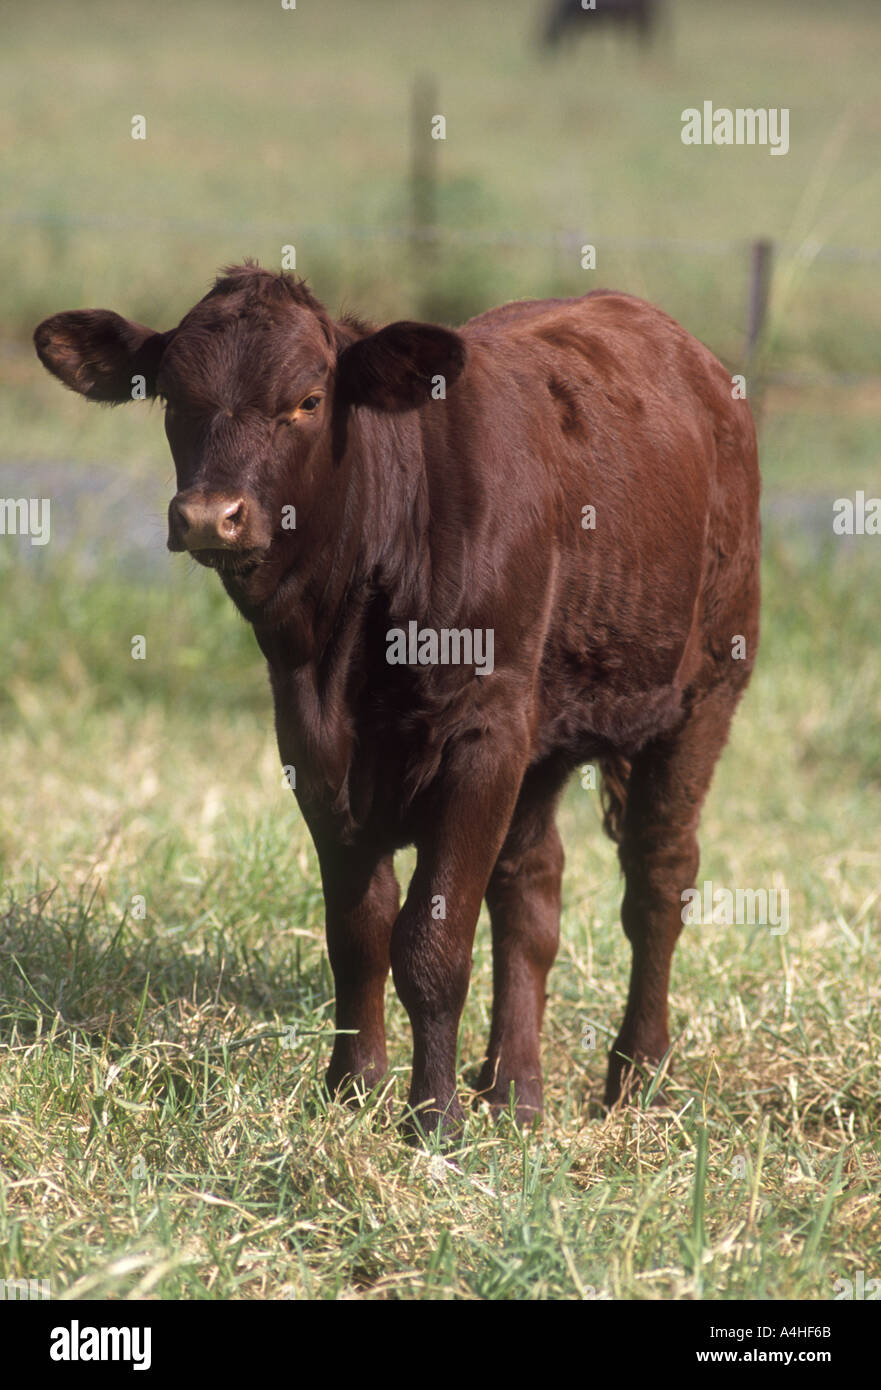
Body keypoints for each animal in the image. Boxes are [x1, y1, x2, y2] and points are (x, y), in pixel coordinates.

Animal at [34, 264, 760, 1140]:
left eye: (308, 399)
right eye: (173, 396)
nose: (210, 516)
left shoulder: (481, 732)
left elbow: (430, 939)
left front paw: (433, 1116)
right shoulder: (313, 744)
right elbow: (359, 930)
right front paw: (353, 1087)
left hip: (701, 690)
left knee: (658, 875)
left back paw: (636, 1075)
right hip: (542, 724)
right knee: (530, 887)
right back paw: (514, 1089)